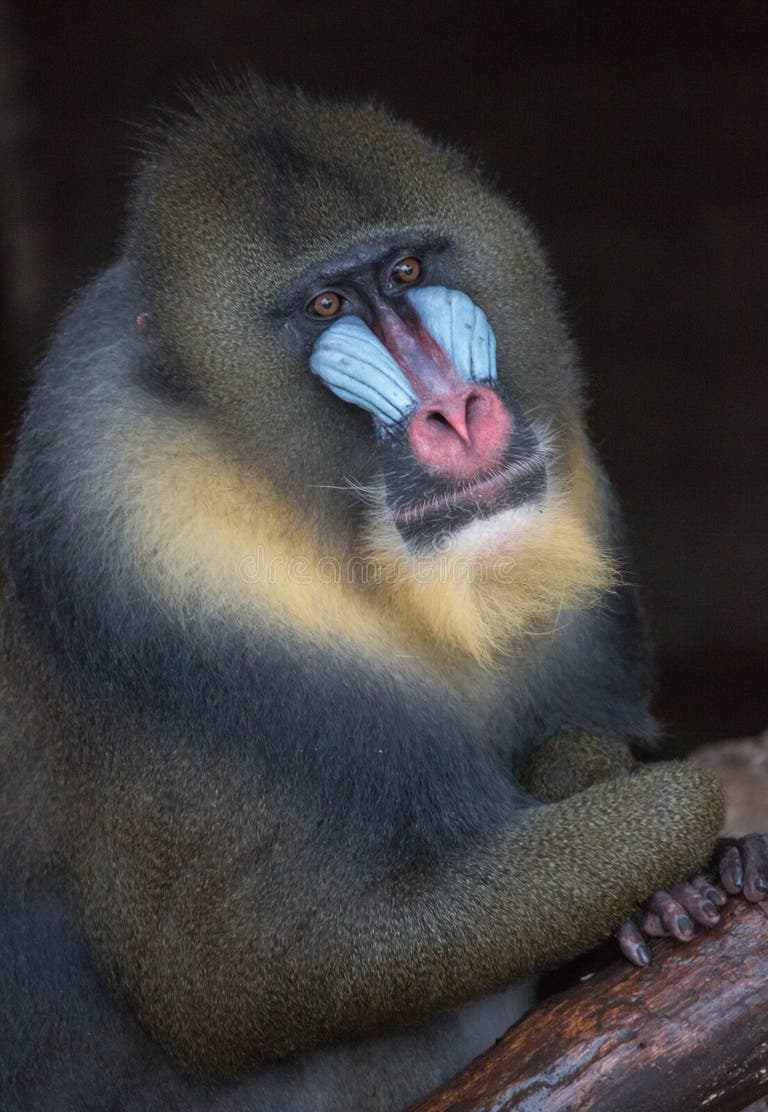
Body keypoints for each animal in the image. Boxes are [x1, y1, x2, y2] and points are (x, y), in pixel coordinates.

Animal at [1, 76, 766, 1112]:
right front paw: (678, 847)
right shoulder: (147, 548)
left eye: (405, 271)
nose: (457, 413)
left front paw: (696, 867)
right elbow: (239, 974)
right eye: (327, 303)